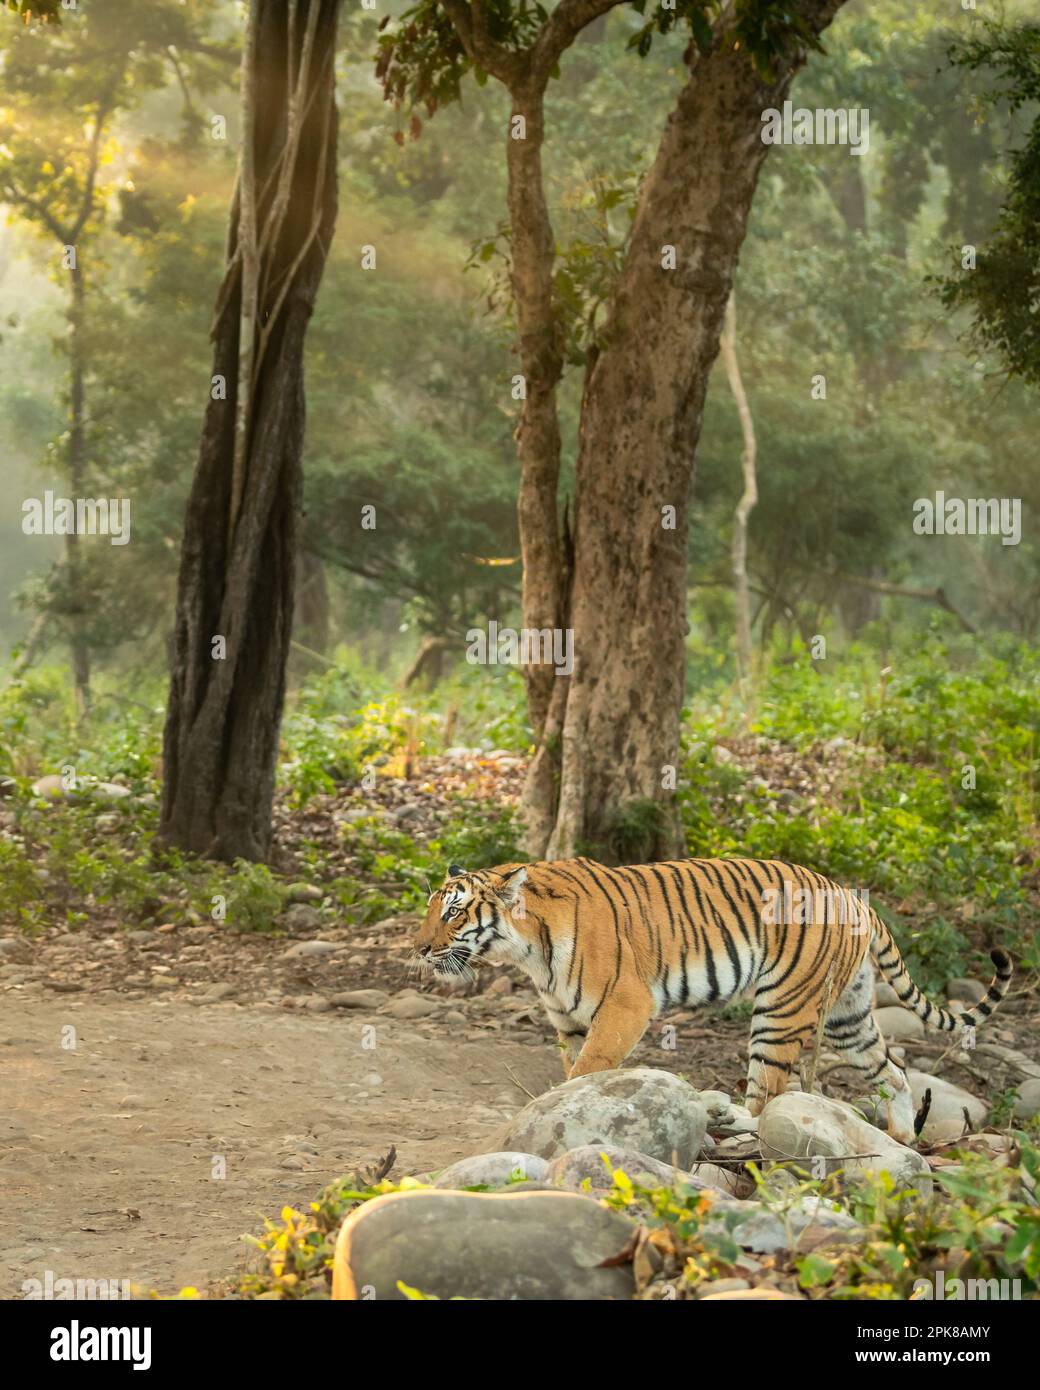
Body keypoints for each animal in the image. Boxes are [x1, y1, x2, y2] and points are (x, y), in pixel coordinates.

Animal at [415, 856, 1013, 1145]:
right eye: (429, 911)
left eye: (453, 912)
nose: (419, 948)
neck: (526, 950)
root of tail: (853, 896)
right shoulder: (568, 1020)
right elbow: (577, 1073)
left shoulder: (625, 1006)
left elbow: (587, 1070)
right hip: (849, 1015)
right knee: (893, 1071)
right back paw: (900, 1137)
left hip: (781, 1010)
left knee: (767, 1099)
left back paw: (728, 1118)